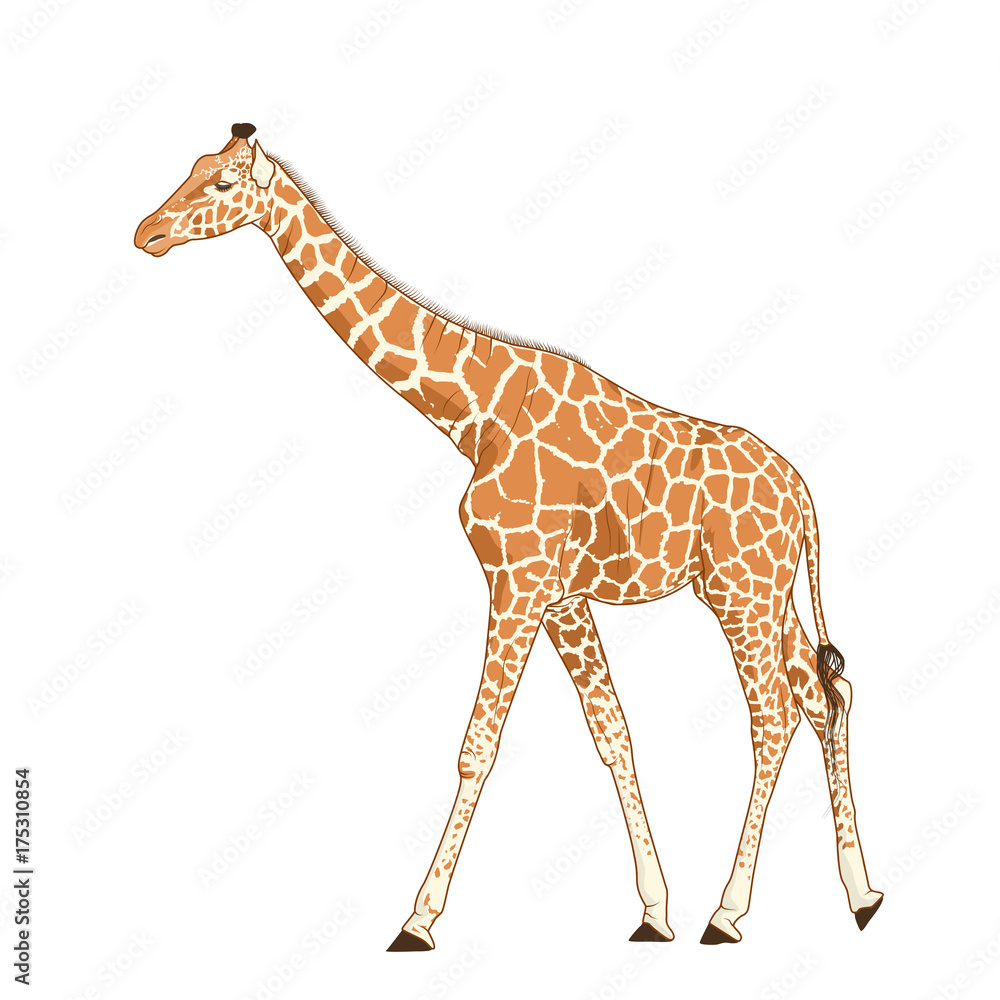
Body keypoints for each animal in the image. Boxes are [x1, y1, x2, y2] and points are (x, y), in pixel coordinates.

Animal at [134, 123, 884, 949]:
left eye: (221, 185)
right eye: (193, 168)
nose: (147, 234)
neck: (474, 412)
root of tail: (804, 496)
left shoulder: (516, 581)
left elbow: (478, 746)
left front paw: (418, 920)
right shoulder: (561, 598)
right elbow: (613, 734)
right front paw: (653, 911)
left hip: (740, 594)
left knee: (775, 717)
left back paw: (730, 912)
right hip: (769, 593)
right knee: (826, 693)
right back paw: (860, 895)